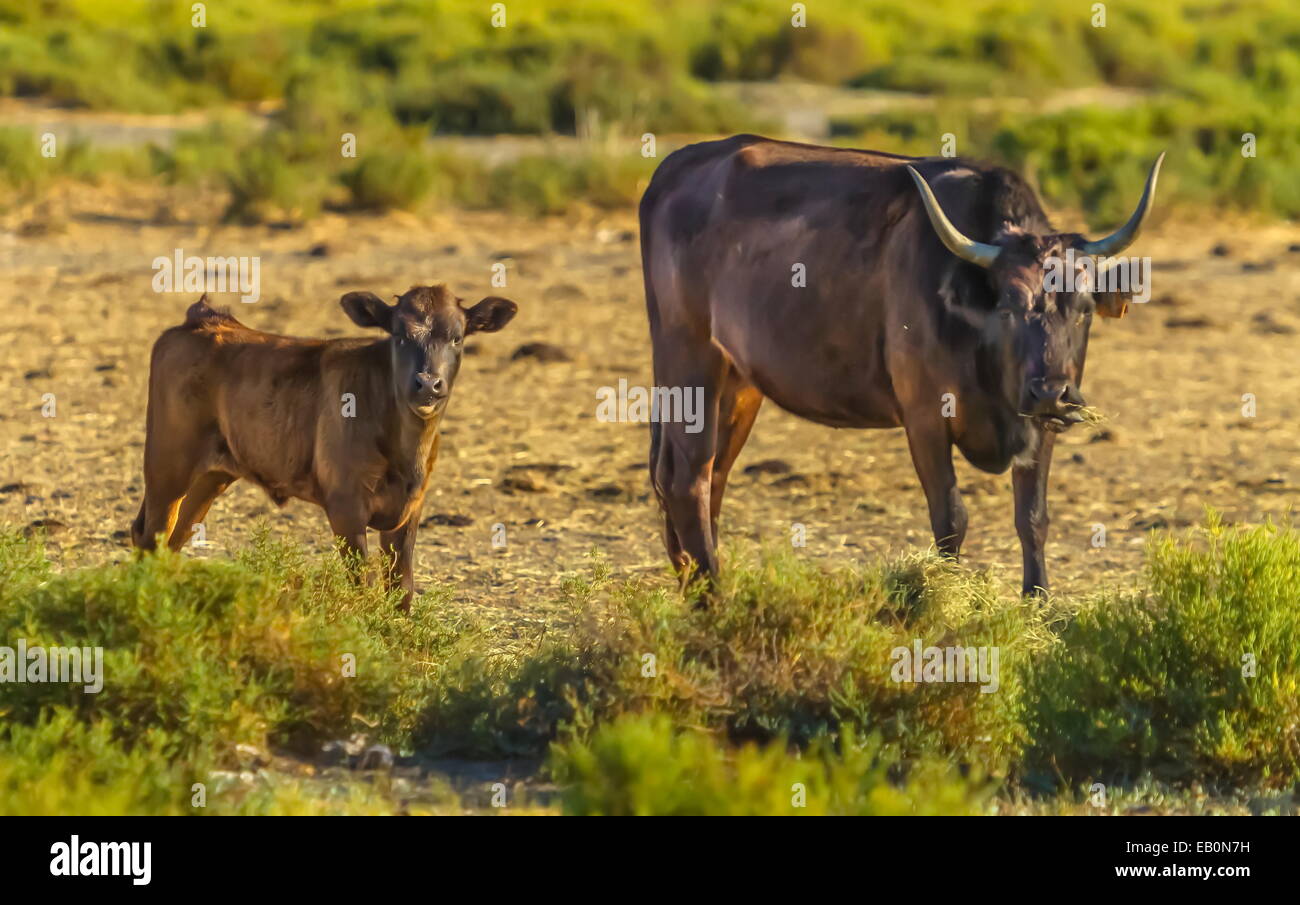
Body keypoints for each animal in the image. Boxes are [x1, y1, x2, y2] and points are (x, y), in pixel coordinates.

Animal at [130, 284, 518, 611]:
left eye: (457, 337)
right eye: (399, 335)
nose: (427, 383)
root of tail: (205, 318)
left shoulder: (410, 509)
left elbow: (401, 589)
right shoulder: (345, 506)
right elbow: (362, 585)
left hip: (211, 475)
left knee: (171, 538)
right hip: (168, 466)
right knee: (152, 536)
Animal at [640, 134, 1163, 600]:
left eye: (1084, 307)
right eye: (1010, 304)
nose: (1050, 391)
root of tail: (681, 164)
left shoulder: (1041, 426)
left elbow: (1032, 517)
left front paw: (1039, 602)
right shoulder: (926, 418)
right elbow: (951, 520)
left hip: (739, 383)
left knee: (712, 477)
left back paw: (696, 584)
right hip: (689, 361)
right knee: (688, 477)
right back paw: (712, 596)